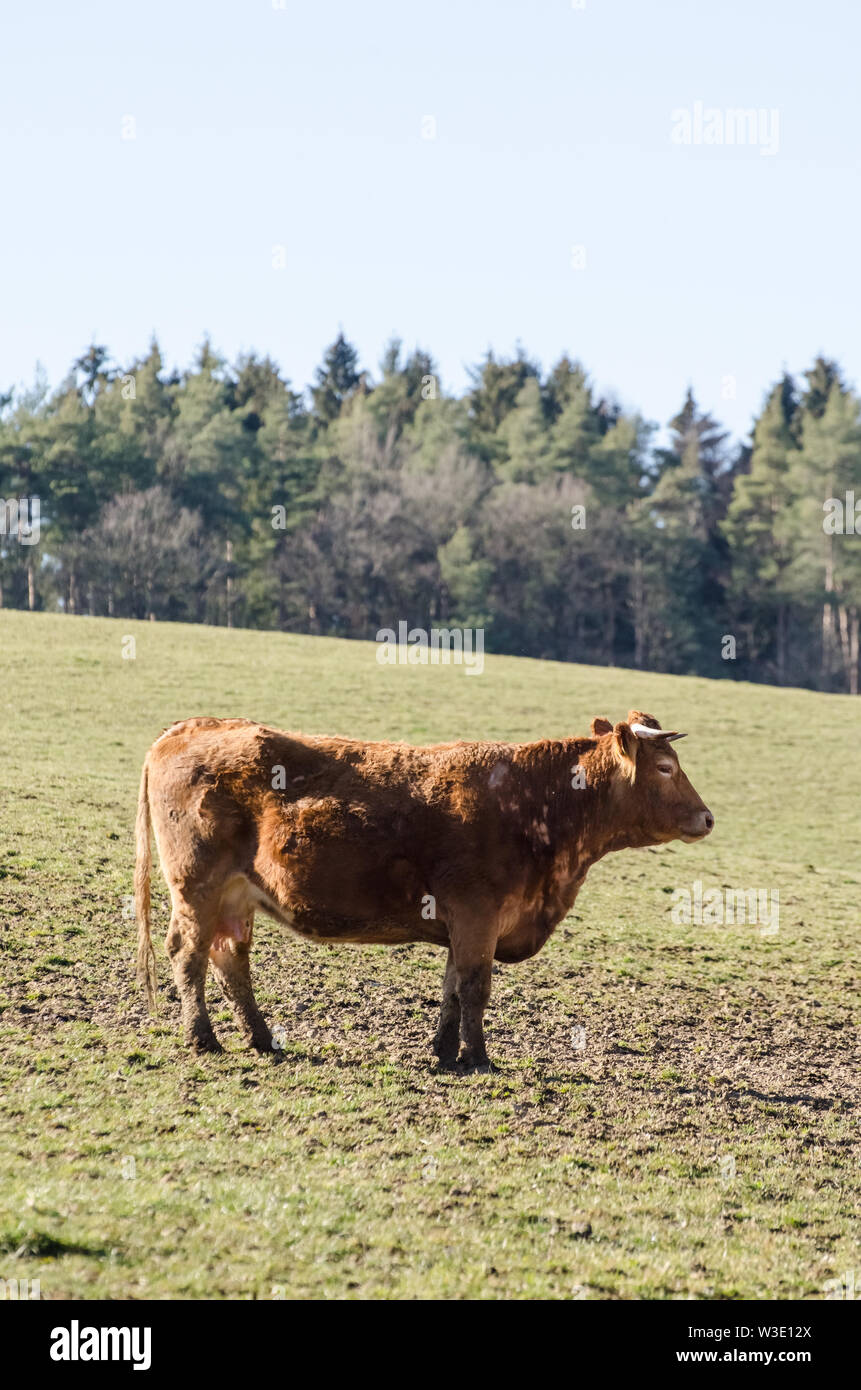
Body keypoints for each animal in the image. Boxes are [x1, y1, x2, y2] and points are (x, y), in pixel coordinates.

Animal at [134, 710, 713, 1070]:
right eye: (666, 768)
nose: (707, 818)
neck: (536, 802)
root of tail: (190, 727)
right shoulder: (478, 915)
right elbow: (476, 987)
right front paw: (478, 1057)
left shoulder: (465, 923)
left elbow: (452, 987)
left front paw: (444, 1050)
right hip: (197, 888)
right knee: (188, 955)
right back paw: (203, 1038)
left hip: (234, 896)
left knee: (230, 959)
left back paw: (261, 1038)